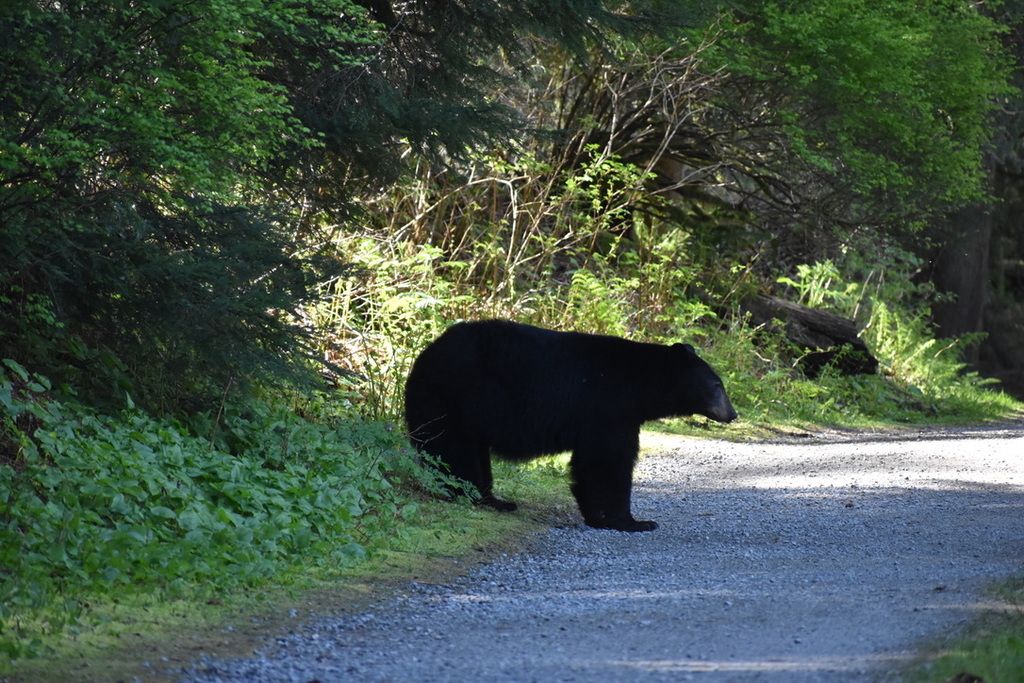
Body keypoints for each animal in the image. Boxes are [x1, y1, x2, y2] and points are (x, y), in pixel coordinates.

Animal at [404, 319, 737, 532]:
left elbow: (590, 464)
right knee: (454, 453)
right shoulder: (608, 409)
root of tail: (423, 357)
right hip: (448, 401)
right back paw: (474, 497)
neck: (638, 384)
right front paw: (632, 521)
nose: (732, 414)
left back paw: (496, 500)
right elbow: (608, 462)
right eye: (717, 385)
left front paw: (601, 516)